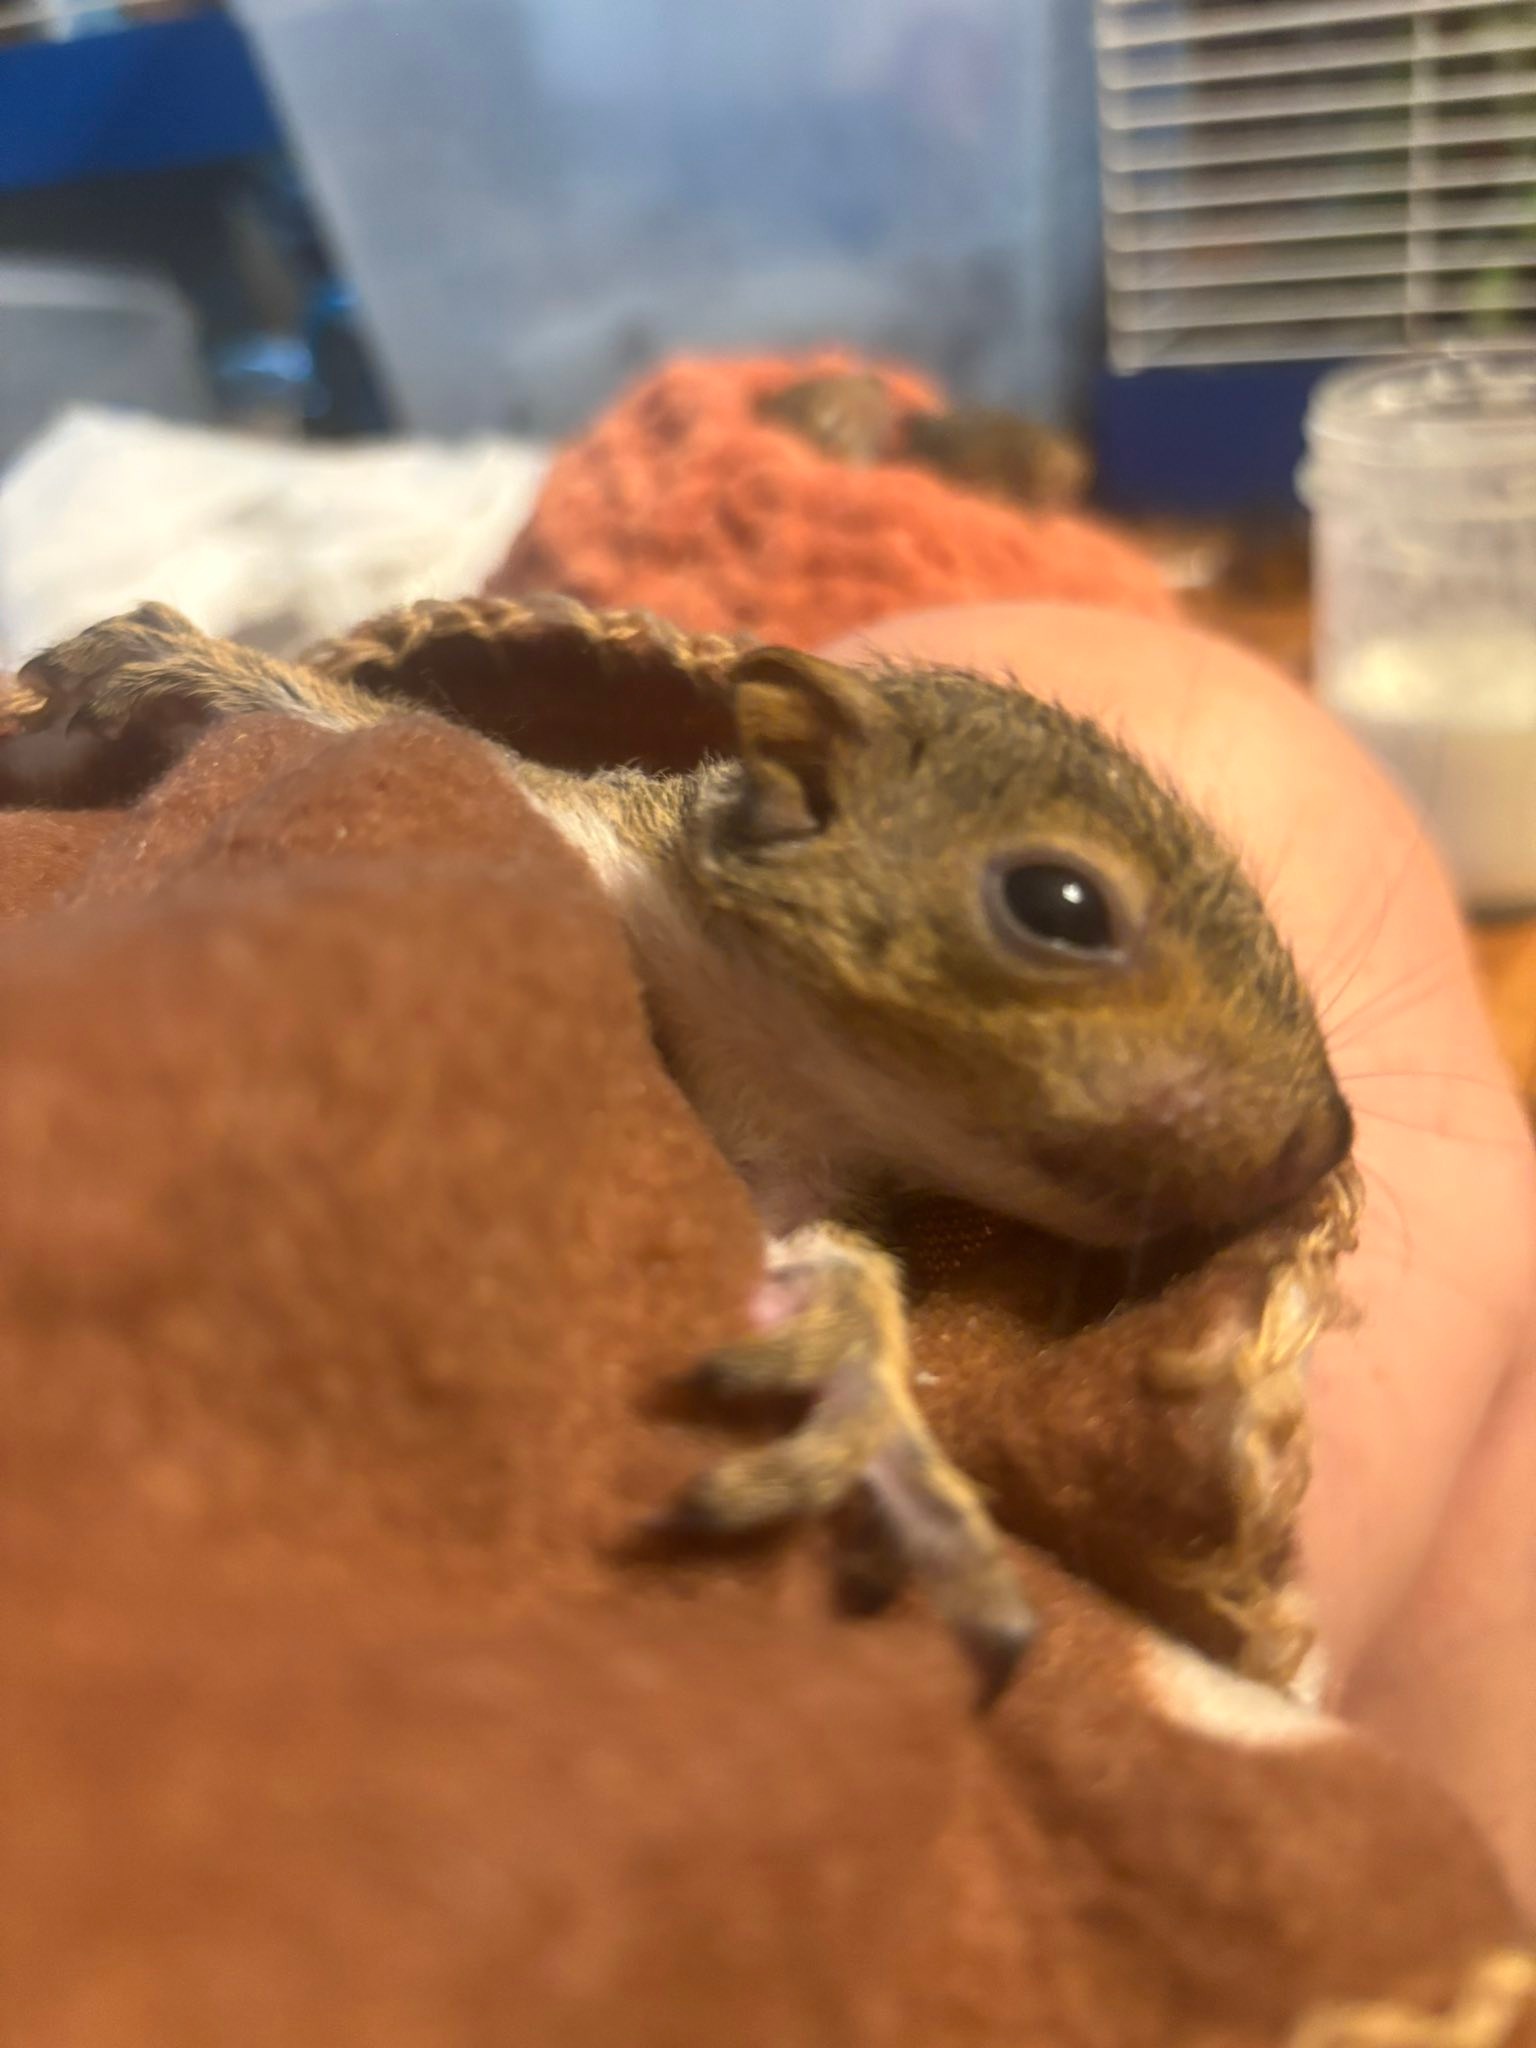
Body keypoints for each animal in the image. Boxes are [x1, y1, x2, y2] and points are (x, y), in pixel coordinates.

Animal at [11, 601, 1353, 1700]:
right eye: (1058, 903)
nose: (1326, 1133)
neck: (761, 1033)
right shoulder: (555, 813)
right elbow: (346, 715)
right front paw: (151, 661)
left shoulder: (779, 1178)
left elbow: (818, 1277)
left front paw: (882, 1412)